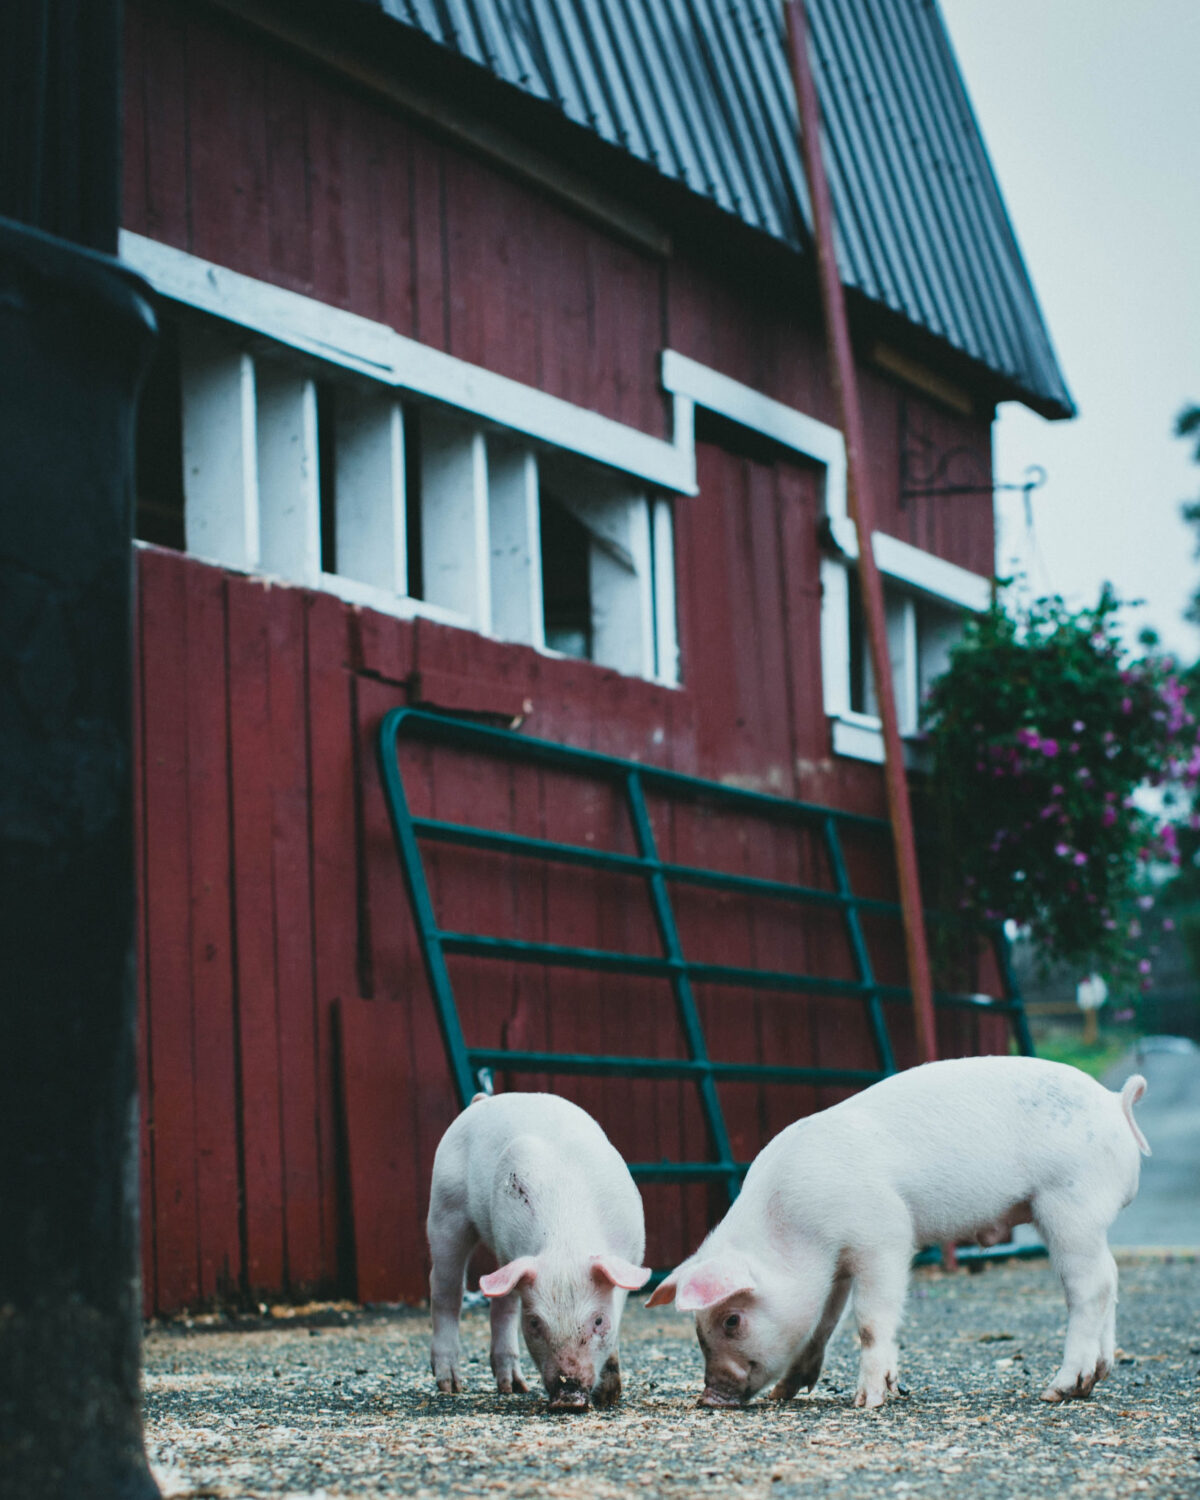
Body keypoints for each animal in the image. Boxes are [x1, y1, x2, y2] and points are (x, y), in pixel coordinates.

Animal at [427, 1090, 651, 1409]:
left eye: (598, 1320)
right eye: (534, 1323)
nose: (569, 1395)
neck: (566, 1241)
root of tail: (482, 1100)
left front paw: (610, 1395)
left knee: (500, 1302)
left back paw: (514, 1388)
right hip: (445, 1206)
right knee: (446, 1288)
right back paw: (451, 1386)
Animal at [648, 1055, 1149, 1410]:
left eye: (732, 1320)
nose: (708, 1398)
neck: (793, 1228)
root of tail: (1115, 1102)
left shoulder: (882, 1234)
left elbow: (870, 1319)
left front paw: (867, 1402)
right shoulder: (835, 1267)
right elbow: (822, 1325)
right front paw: (784, 1393)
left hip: (1068, 1204)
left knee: (1091, 1286)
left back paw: (1059, 1390)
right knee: (1111, 1278)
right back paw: (1094, 1379)